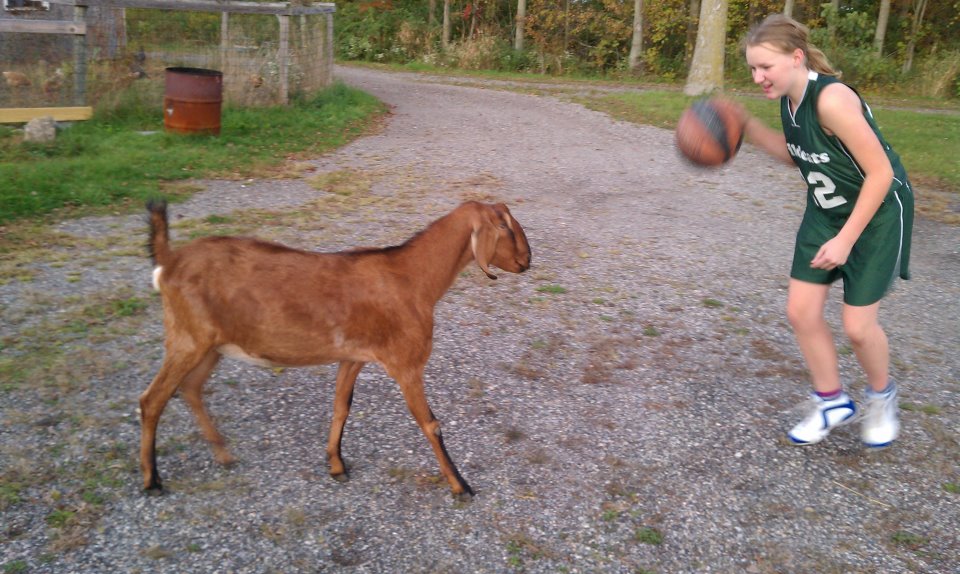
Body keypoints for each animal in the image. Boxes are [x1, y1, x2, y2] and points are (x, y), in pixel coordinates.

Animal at [141, 200, 531, 498]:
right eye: (506, 227)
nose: (528, 261)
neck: (412, 279)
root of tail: (169, 260)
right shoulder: (406, 364)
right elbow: (430, 423)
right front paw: (460, 485)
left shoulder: (352, 357)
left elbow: (341, 407)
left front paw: (336, 464)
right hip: (187, 339)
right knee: (152, 400)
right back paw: (152, 480)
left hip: (211, 345)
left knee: (190, 389)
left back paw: (223, 454)